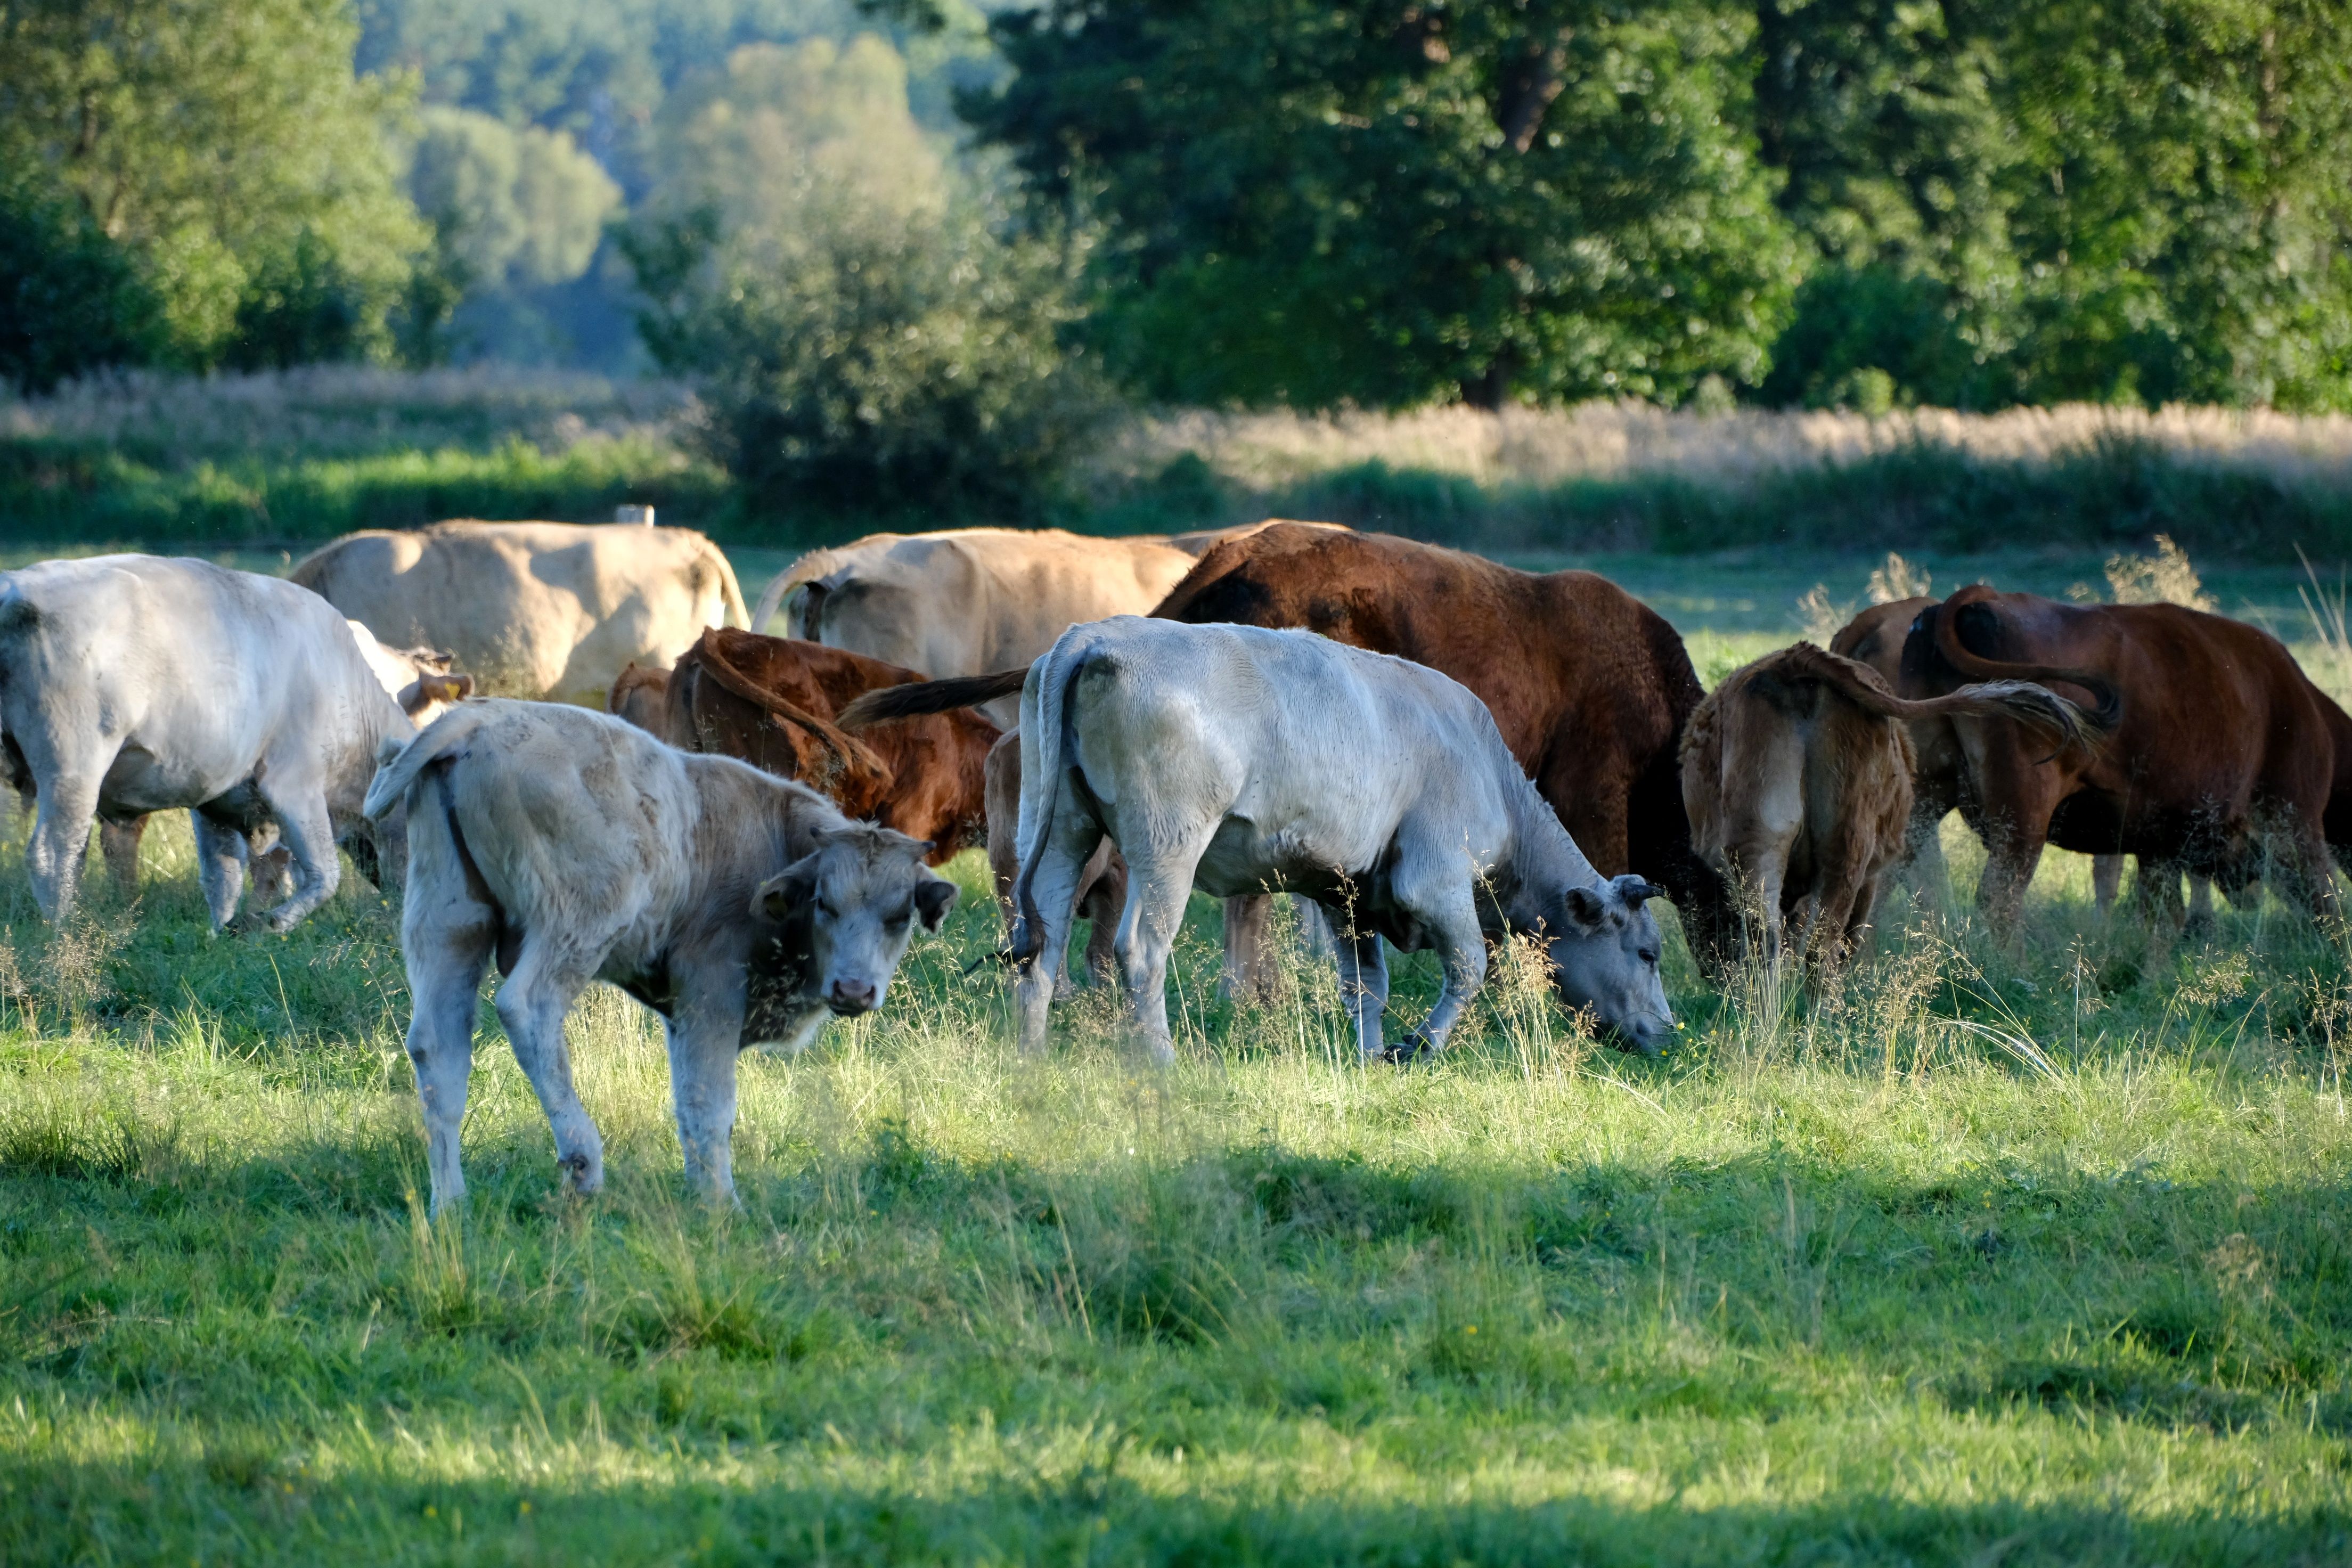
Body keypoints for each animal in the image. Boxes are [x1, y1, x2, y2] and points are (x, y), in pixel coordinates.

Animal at [0, 555, 419, 929]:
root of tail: (14, 589)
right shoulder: (294, 784)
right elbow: (324, 874)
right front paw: (269, 923)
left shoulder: (214, 801)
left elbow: (223, 878)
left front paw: (223, 933)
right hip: (74, 768)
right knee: (54, 855)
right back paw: (63, 937)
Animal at [363, 700, 958, 1211]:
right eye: (824, 903)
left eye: (899, 916)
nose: (854, 990)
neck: (766, 833)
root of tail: (478, 718)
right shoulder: (711, 992)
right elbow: (708, 1103)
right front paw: (722, 1204)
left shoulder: (683, 1013)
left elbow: (688, 1103)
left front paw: (700, 1192)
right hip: (579, 924)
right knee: (526, 1009)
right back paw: (583, 1158)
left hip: (450, 924)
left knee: (439, 1053)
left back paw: (450, 1204)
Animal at [1006, 617, 1676, 1064]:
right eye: (1648, 953)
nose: (1671, 1032)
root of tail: (1095, 636)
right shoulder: (1437, 880)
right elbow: (1468, 967)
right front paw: (1419, 1046)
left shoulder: (1345, 896)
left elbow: (1365, 987)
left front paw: (1370, 1056)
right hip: (1167, 846)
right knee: (1142, 950)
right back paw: (1164, 1061)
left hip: (1061, 831)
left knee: (1045, 942)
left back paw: (1032, 1057)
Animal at [1900, 586, 2342, 937]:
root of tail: (1975, 605)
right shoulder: (2293, 817)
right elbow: (2325, 901)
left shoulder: (2160, 841)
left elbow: (2163, 913)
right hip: (2022, 818)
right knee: (1999, 900)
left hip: (1923, 799)